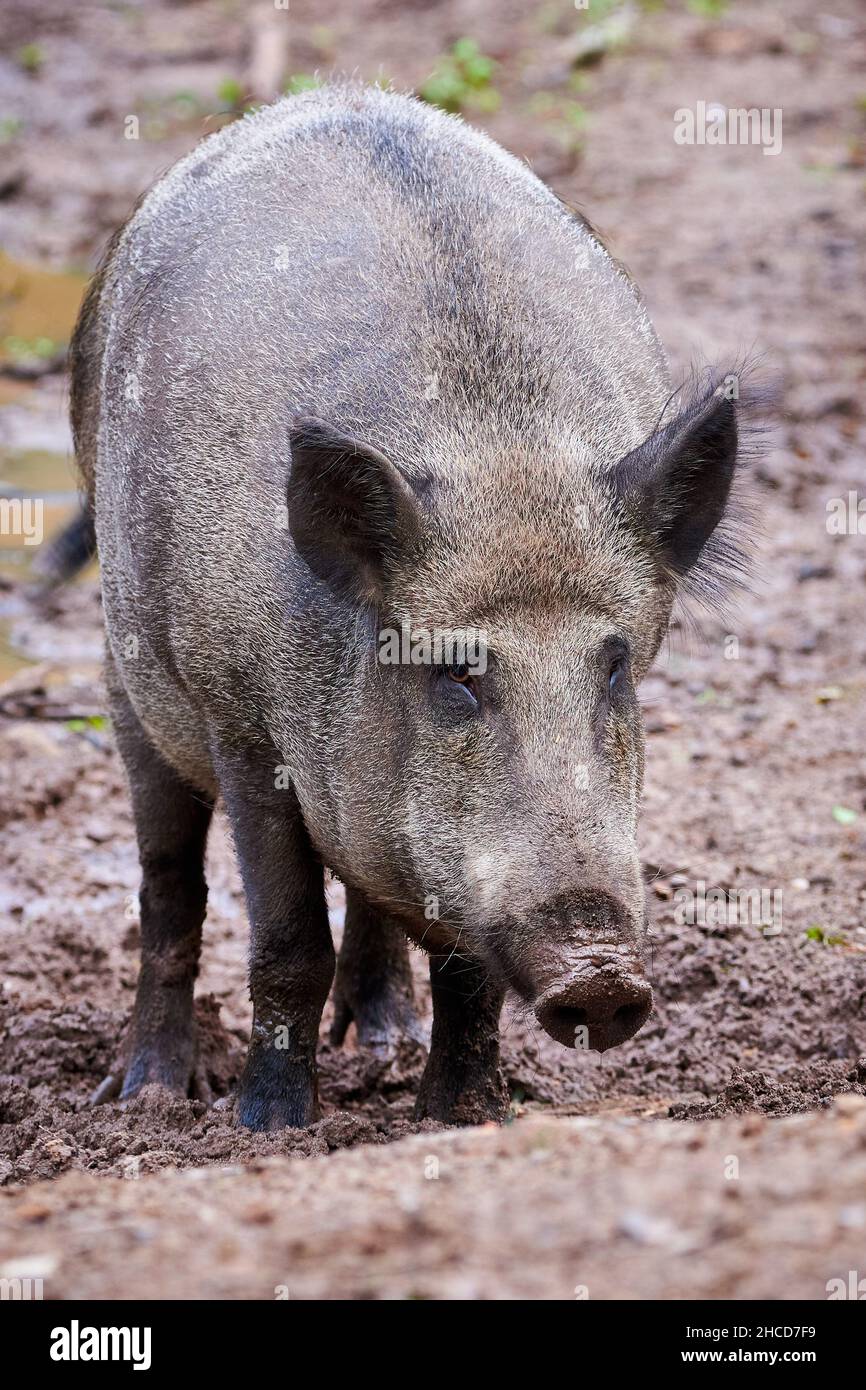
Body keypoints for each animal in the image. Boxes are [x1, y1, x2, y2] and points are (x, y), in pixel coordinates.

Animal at [72, 83, 747, 1130]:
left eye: (615, 666)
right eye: (454, 674)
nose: (600, 976)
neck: (497, 461)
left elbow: (463, 967)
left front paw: (458, 1116)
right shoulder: (241, 724)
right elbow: (285, 940)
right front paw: (271, 1126)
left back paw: (382, 1041)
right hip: (127, 676)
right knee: (169, 887)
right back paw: (147, 1094)